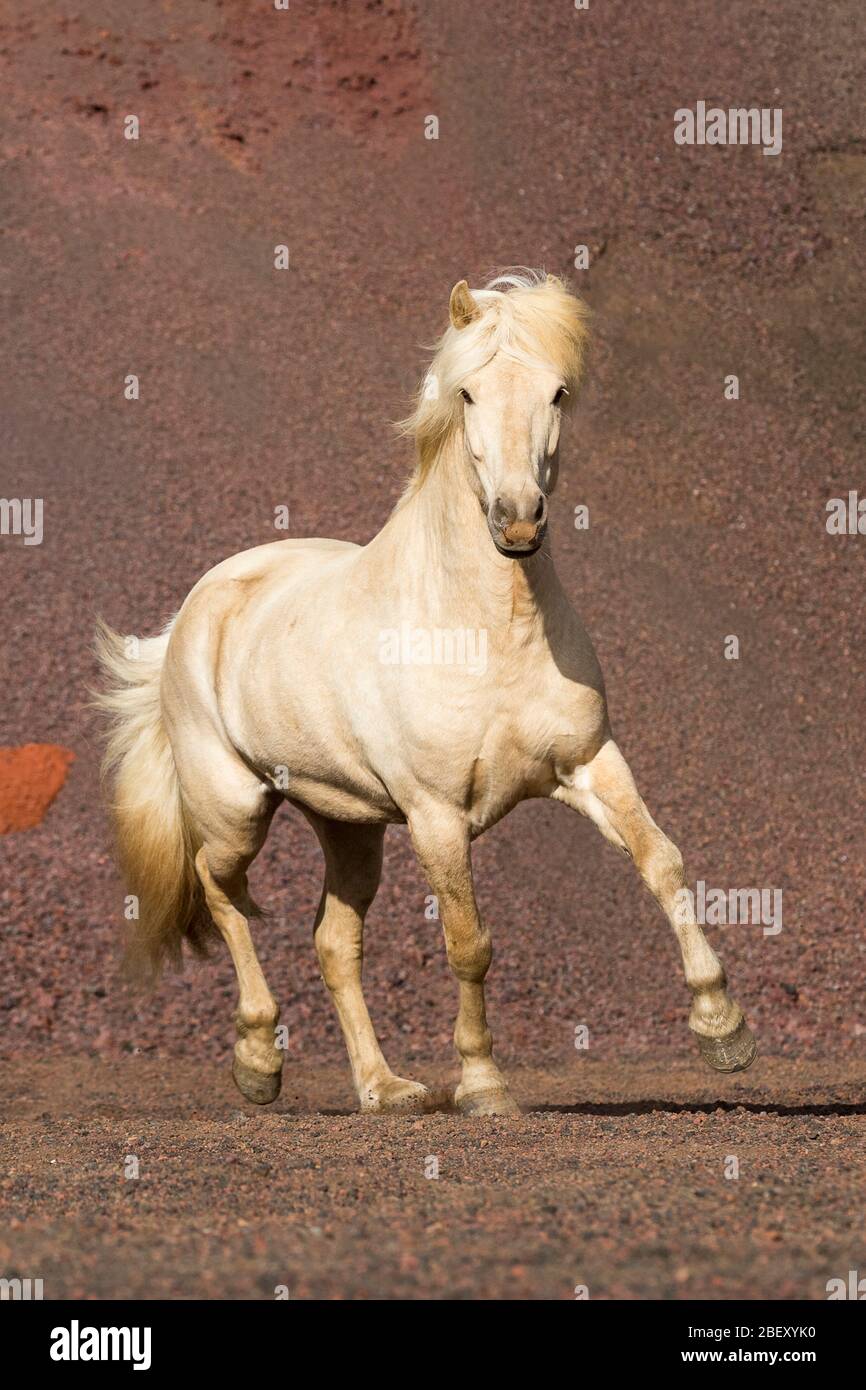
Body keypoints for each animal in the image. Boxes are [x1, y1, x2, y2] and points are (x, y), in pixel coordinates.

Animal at [94, 270, 756, 1116]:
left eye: (558, 391)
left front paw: (721, 1029)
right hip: (234, 807)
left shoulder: (591, 764)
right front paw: (482, 1083)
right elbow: (469, 944)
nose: (517, 520)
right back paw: (258, 1061)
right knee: (222, 892)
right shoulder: (438, 817)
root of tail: (195, 609)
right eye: (468, 393)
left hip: (349, 826)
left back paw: (386, 1089)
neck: (488, 631)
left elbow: (662, 862)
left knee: (333, 942)